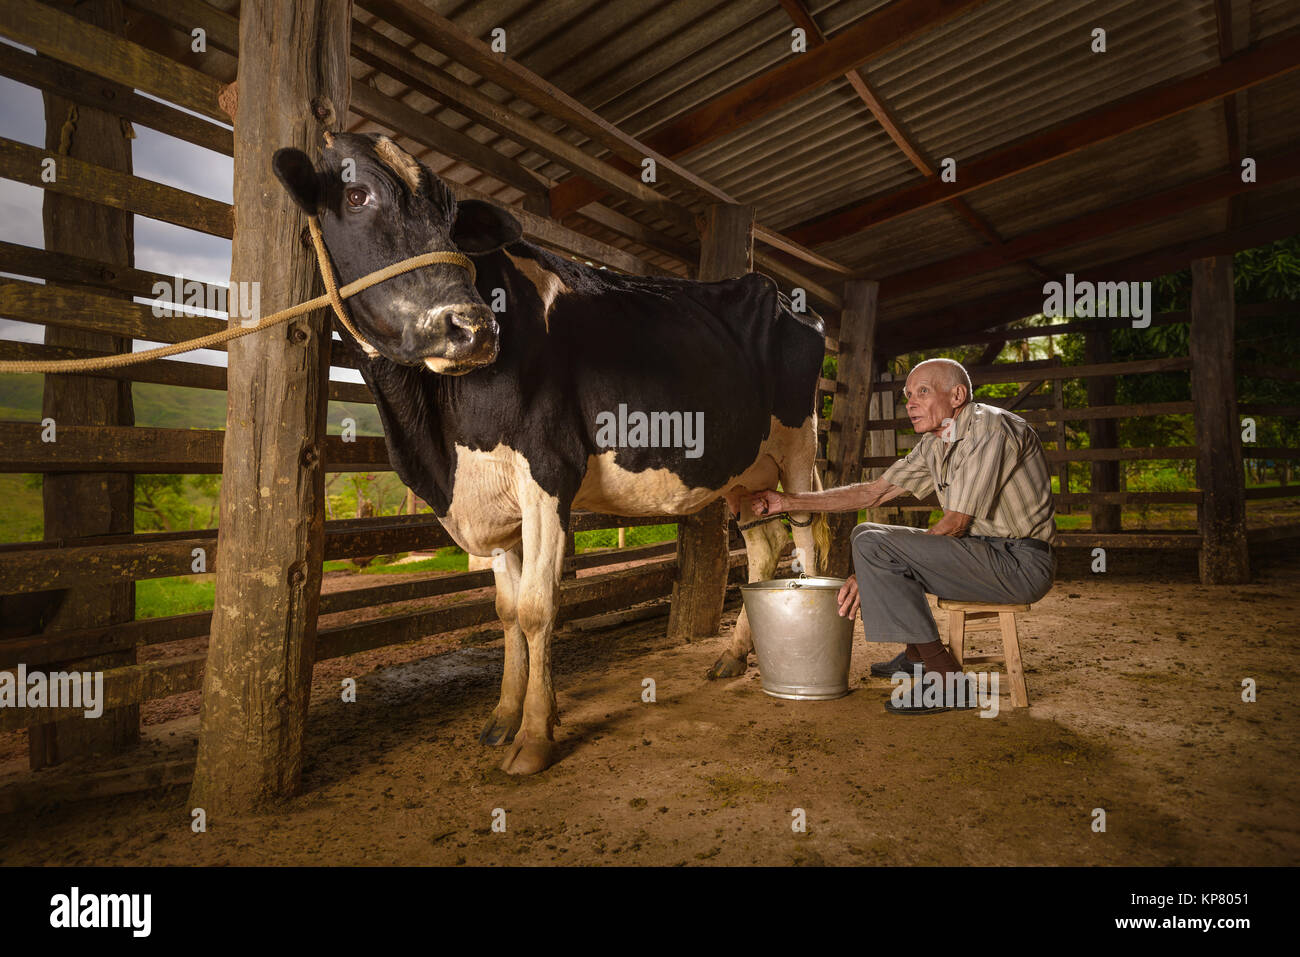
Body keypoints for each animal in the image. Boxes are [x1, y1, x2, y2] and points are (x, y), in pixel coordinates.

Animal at [272, 132, 829, 774]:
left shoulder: (548, 470)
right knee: (766, 547)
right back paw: (732, 657)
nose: (472, 327)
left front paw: (535, 736)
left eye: (451, 216)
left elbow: (539, 607)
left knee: (808, 539)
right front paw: (504, 716)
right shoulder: (495, 498)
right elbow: (506, 610)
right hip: (742, 472)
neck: (435, 446)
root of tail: (780, 293)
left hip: (798, 447)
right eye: (357, 194)